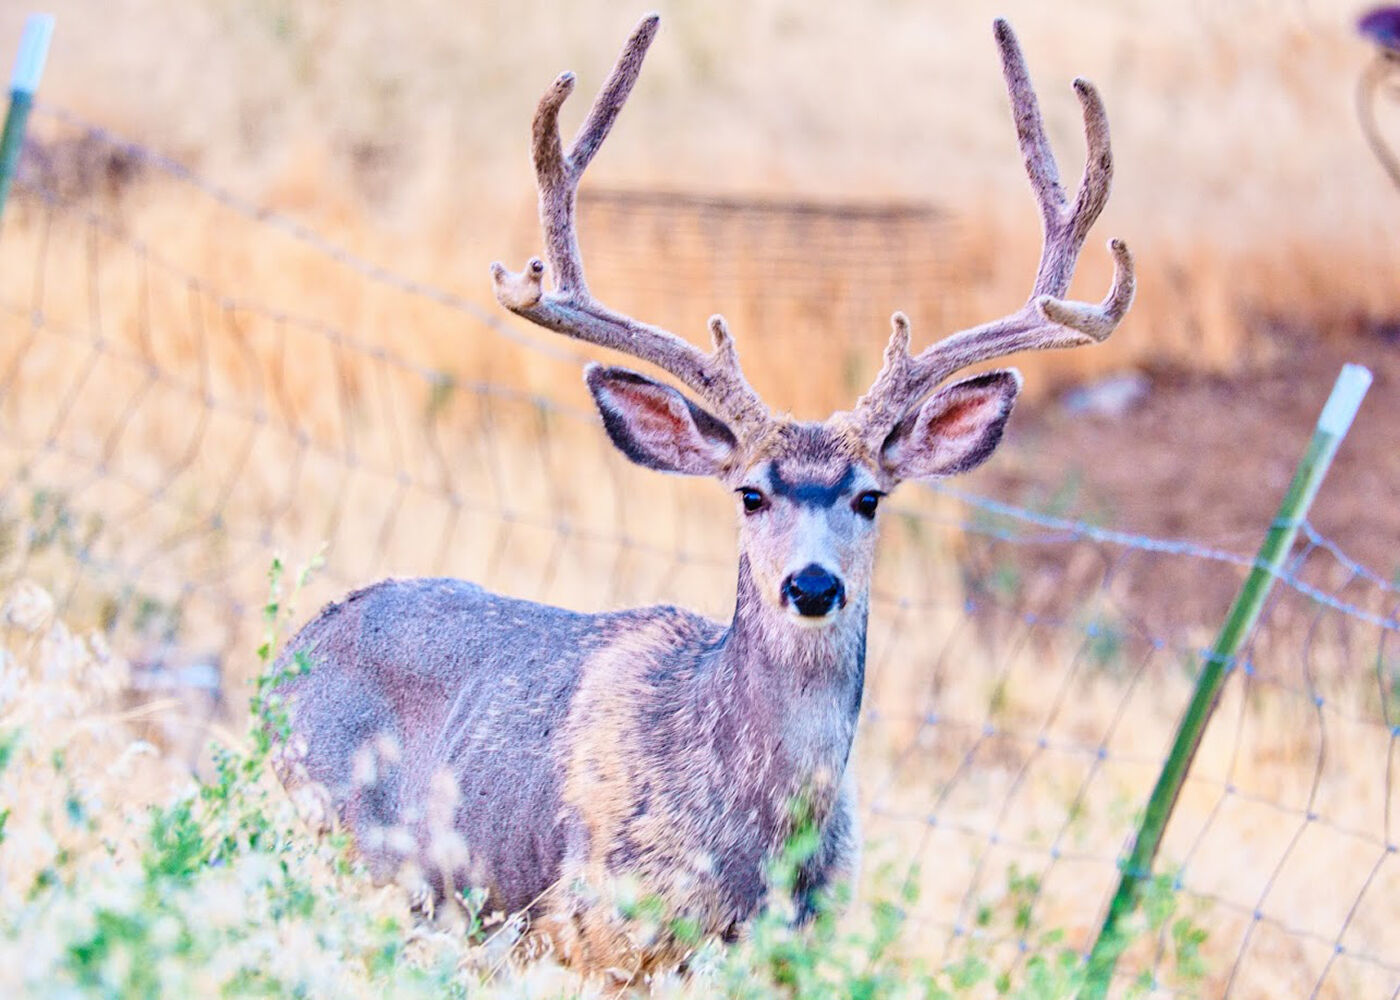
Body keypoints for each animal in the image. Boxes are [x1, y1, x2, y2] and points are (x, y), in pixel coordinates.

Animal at [271, 14, 1133, 978]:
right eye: (751, 494)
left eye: (870, 498)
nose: (812, 586)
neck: (756, 845)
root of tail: (291, 650)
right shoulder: (595, 932)